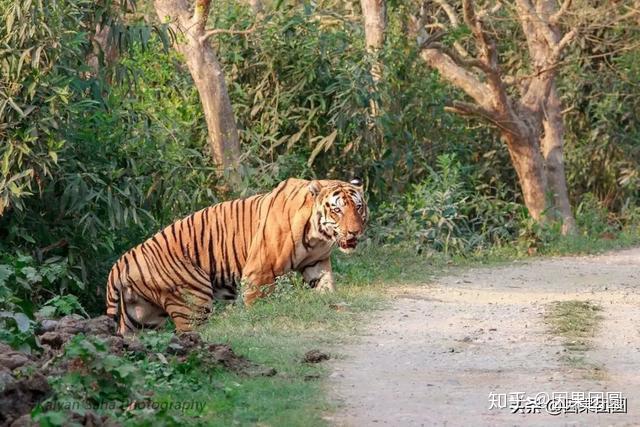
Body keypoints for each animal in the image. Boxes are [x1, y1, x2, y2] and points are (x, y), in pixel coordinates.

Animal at [106, 178, 368, 335]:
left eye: (358, 207)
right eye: (337, 209)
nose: (355, 231)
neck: (317, 235)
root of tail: (122, 261)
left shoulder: (316, 262)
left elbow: (325, 287)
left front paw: (333, 304)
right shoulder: (260, 272)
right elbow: (257, 303)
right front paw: (258, 323)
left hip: (140, 317)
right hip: (193, 301)